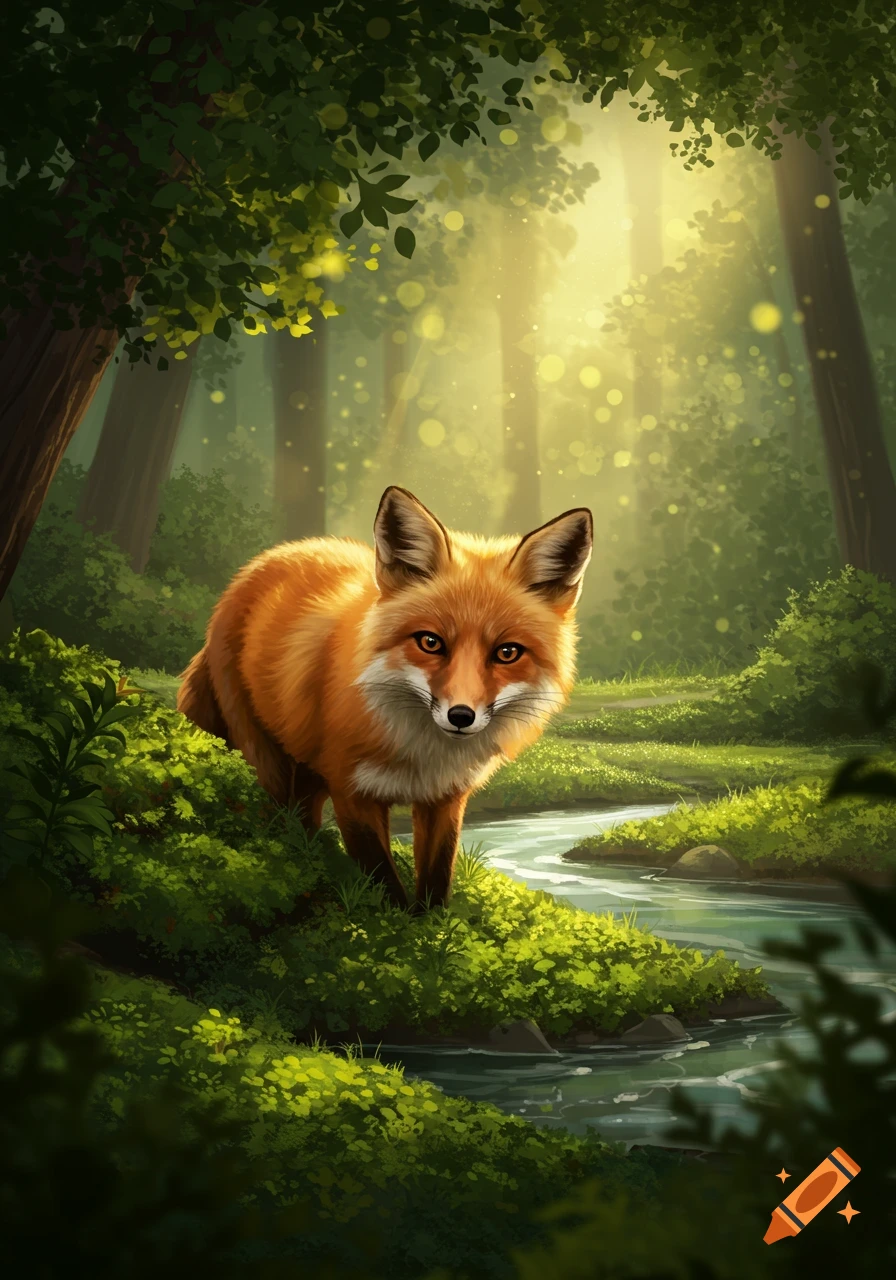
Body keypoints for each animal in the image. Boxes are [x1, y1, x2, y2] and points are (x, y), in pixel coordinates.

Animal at [177, 486, 593, 913]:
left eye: (507, 653)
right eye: (430, 642)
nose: (461, 715)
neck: (421, 755)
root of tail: (272, 556)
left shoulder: (445, 799)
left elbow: (437, 878)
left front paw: (432, 925)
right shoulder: (351, 790)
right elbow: (382, 878)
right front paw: (393, 922)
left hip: (308, 766)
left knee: (303, 819)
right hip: (264, 754)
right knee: (276, 819)